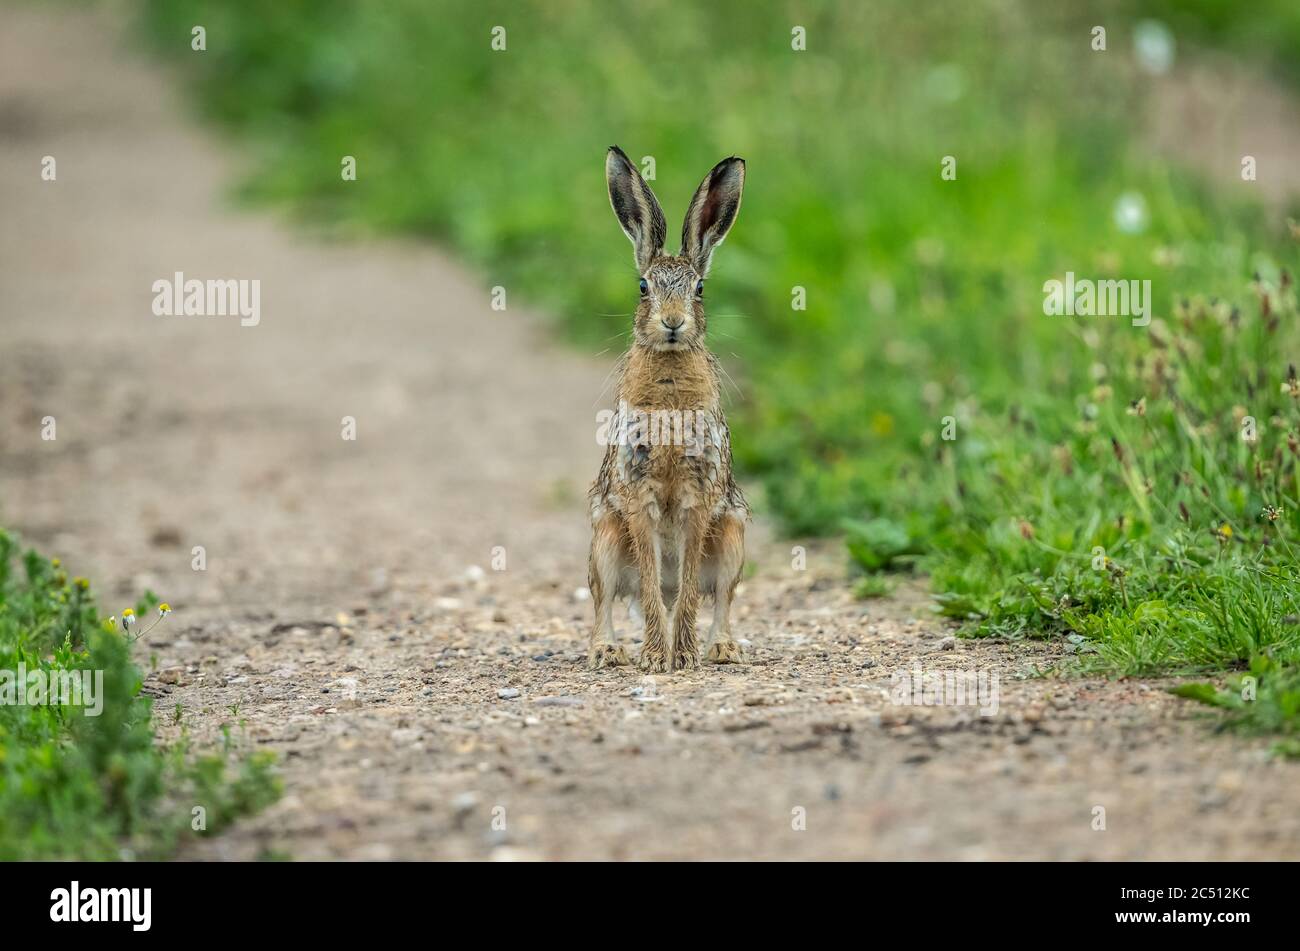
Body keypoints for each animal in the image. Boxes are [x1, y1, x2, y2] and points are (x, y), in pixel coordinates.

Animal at [587, 145, 749, 673]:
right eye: (642, 287)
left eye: (699, 289)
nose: (673, 323)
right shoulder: (638, 494)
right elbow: (653, 584)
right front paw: (658, 658)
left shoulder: (700, 493)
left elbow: (691, 588)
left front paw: (683, 656)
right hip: (604, 539)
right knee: (606, 598)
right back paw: (608, 650)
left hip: (734, 537)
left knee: (718, 598)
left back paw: (721, 648)